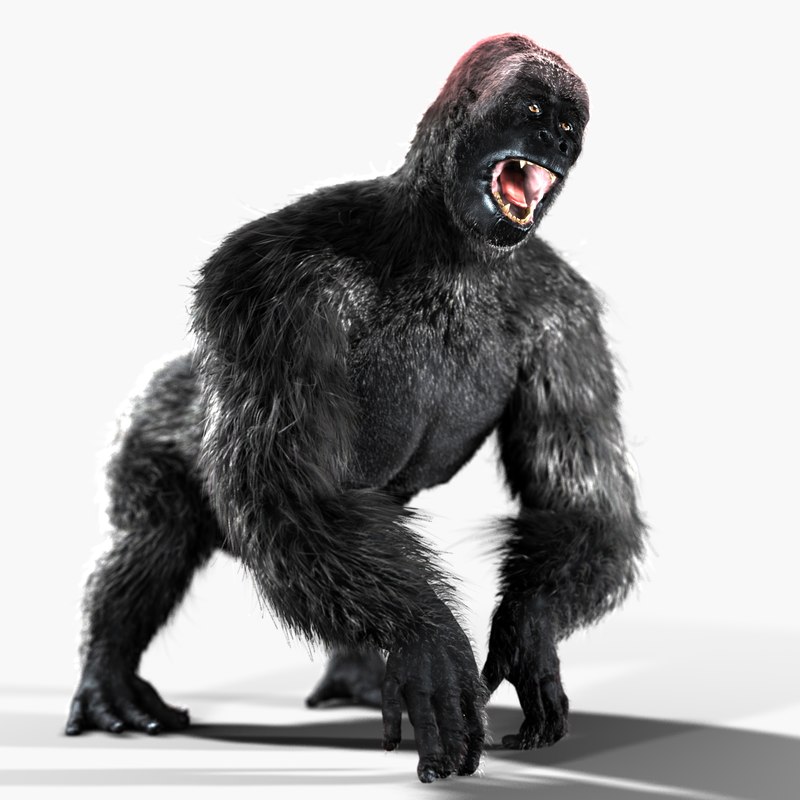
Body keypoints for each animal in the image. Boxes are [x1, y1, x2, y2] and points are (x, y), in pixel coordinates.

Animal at [65, 33, 646, 783]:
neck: (449, 251)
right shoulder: (268, 279)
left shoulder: (564, 317)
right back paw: (108, 676)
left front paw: (529, 631)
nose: (557, 138)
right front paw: (433, 644)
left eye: (570, 124)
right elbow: (293, 490)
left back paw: (363, 678)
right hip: (149, 427)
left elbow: (579, 503)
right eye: (535, 111)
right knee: (155, 542)